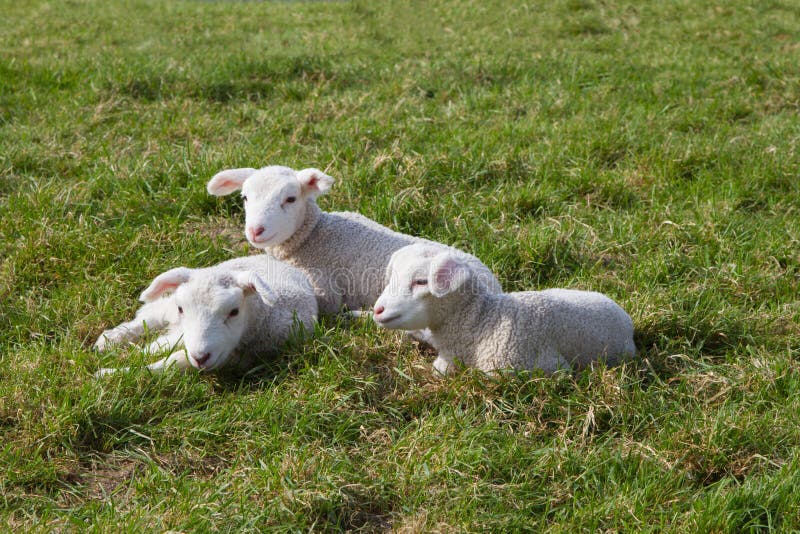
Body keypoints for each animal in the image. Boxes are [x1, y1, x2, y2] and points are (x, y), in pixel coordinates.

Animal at [94, 255, 317, 376]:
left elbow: (171, 361)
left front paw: (111, 373)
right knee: (151, 316)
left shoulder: (233, 357)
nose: (200, 356)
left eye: (234, 311)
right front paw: (110, 372)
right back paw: (111, 339)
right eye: (182, 308)